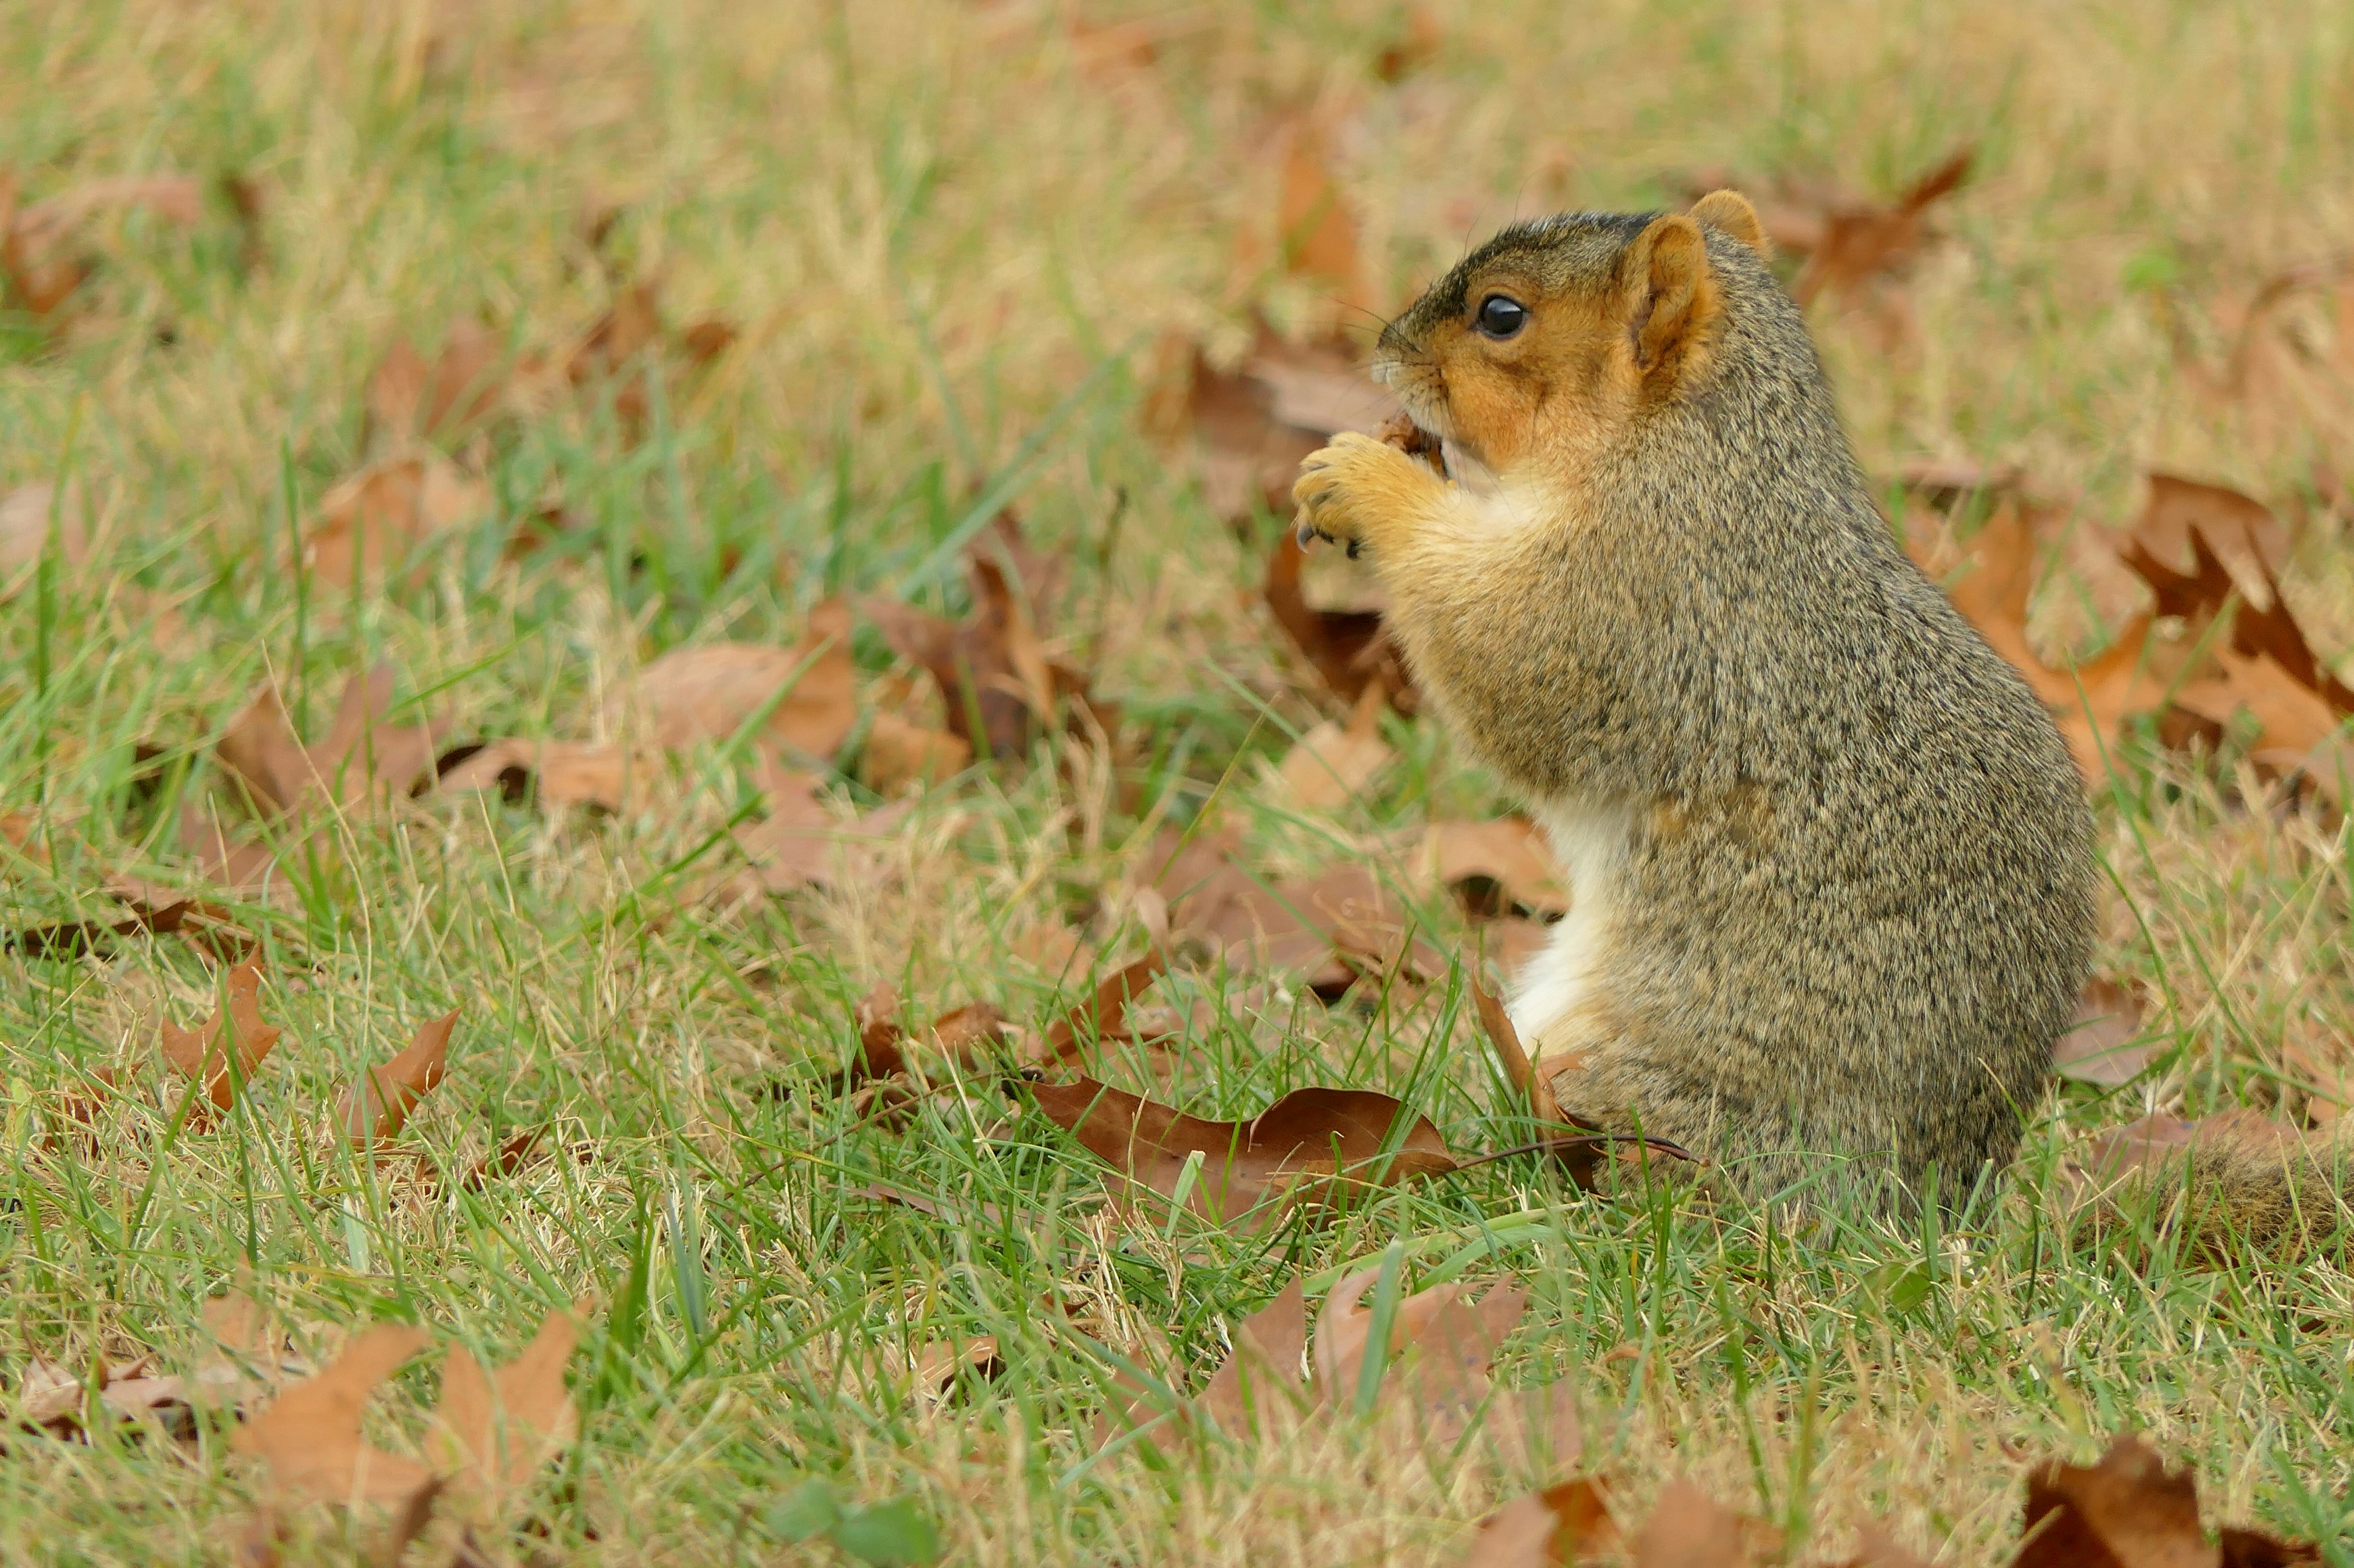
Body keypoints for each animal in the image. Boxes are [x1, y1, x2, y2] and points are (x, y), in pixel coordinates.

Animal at [1291, 191, 2102, 1212]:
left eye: (1501, 315)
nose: (1384, 348)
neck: (1700, 455)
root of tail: (1928, 1194)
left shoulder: (1636, 596)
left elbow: (1506, 655)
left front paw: (1365, 480)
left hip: (1657, 1087)